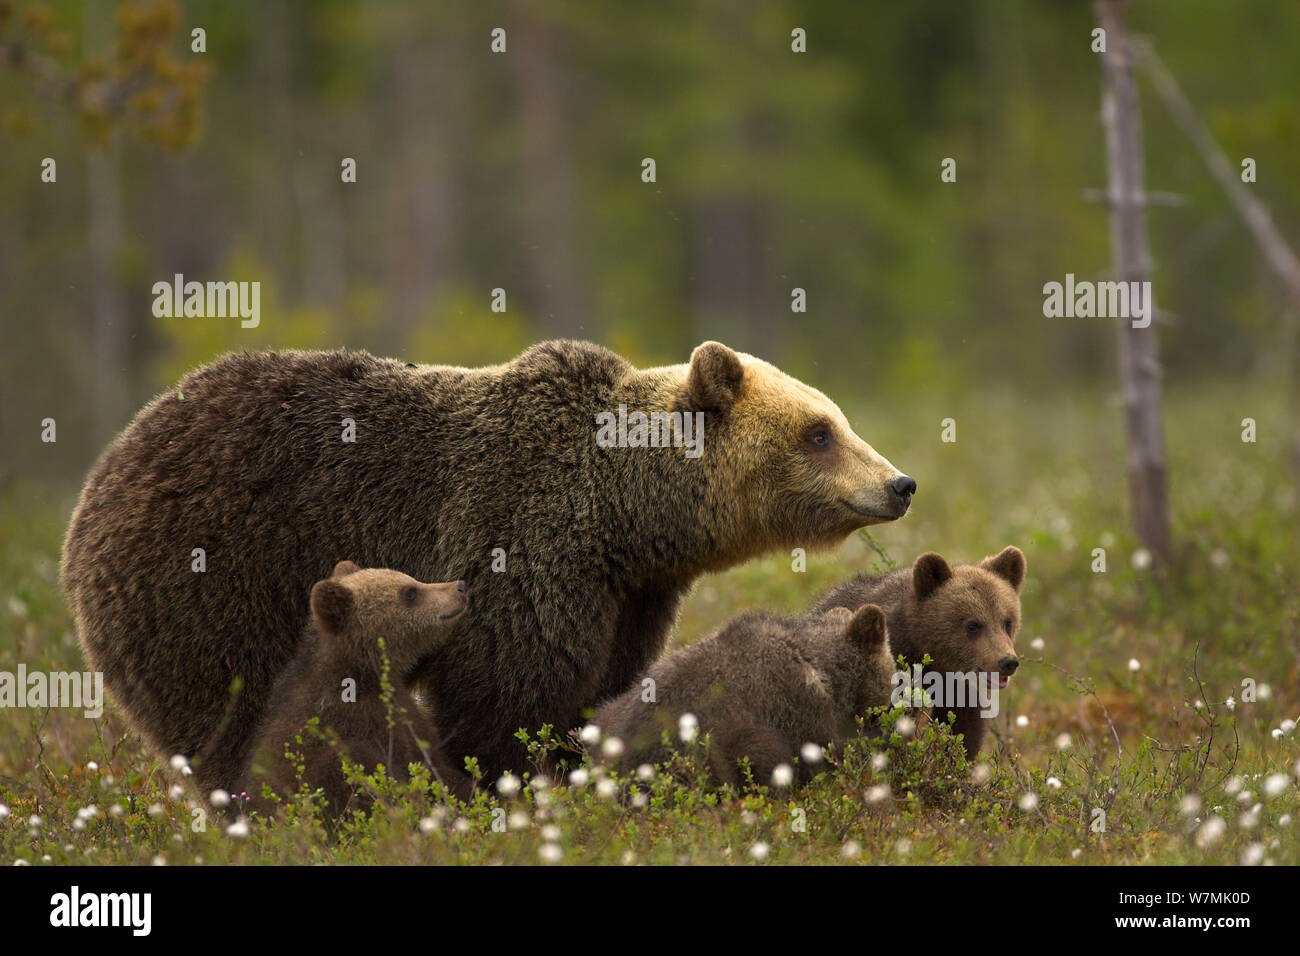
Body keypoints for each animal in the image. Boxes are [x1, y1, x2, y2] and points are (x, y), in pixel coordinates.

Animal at [250, 561, 472, 817]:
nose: (460, 586)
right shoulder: (363, 721)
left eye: (412, 580)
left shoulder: (409, 714)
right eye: (410, 592)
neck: (362, 674)